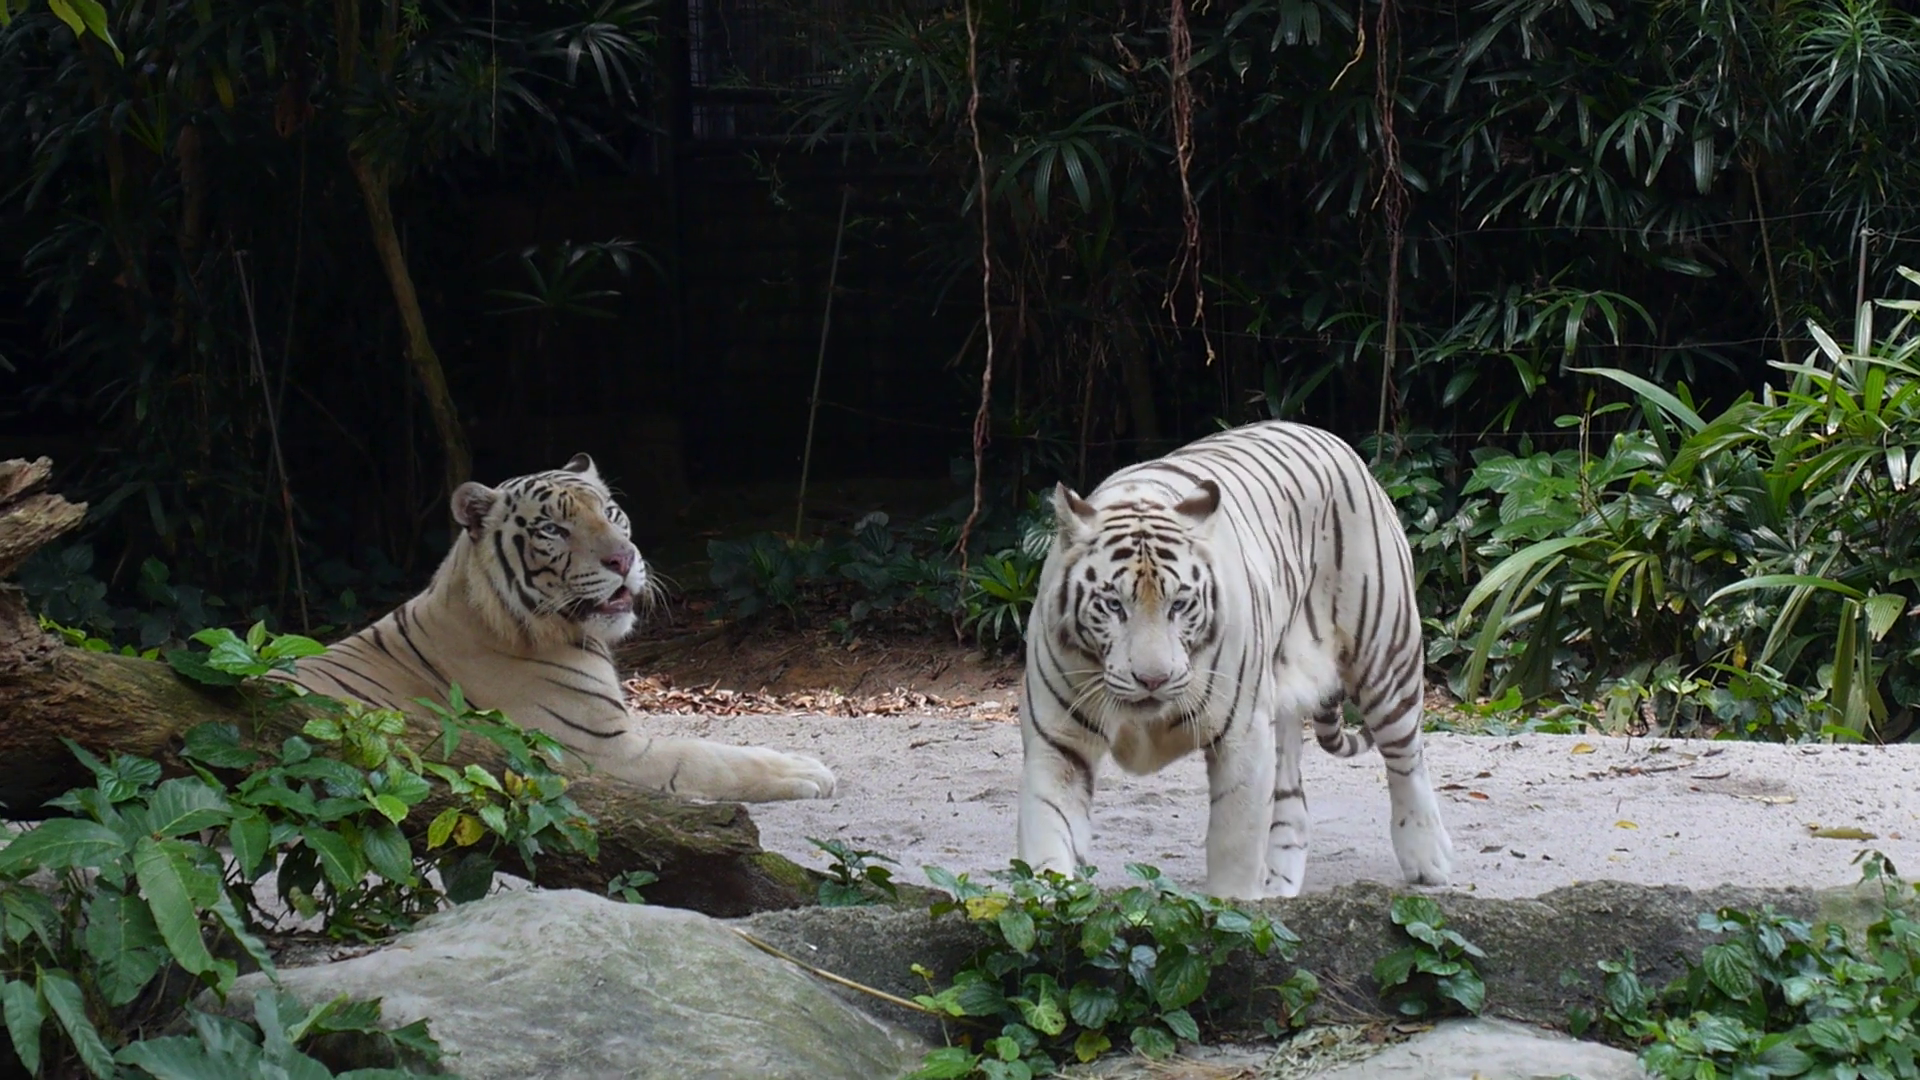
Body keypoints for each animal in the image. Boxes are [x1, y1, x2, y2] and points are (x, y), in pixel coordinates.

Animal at [272, 453, 837, 802]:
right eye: (553, 530)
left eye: (610, 512)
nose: (624, 558)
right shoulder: (605, 750)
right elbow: (710, 758)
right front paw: (805, 771)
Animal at [1017, 420, 1454, 899]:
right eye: (1114, 605)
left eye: (1178, 604)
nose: (1153, 680)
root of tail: (1328, 437)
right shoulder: (1059, 741)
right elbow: (1048, 833)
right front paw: (1047, 899)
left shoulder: (1242, 735)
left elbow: (1235, 842)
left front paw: (1234, 908)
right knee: (1293, 802)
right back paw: (1279, 887)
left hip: (1385, 655)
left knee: (1407, 759)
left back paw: (1429, 860)